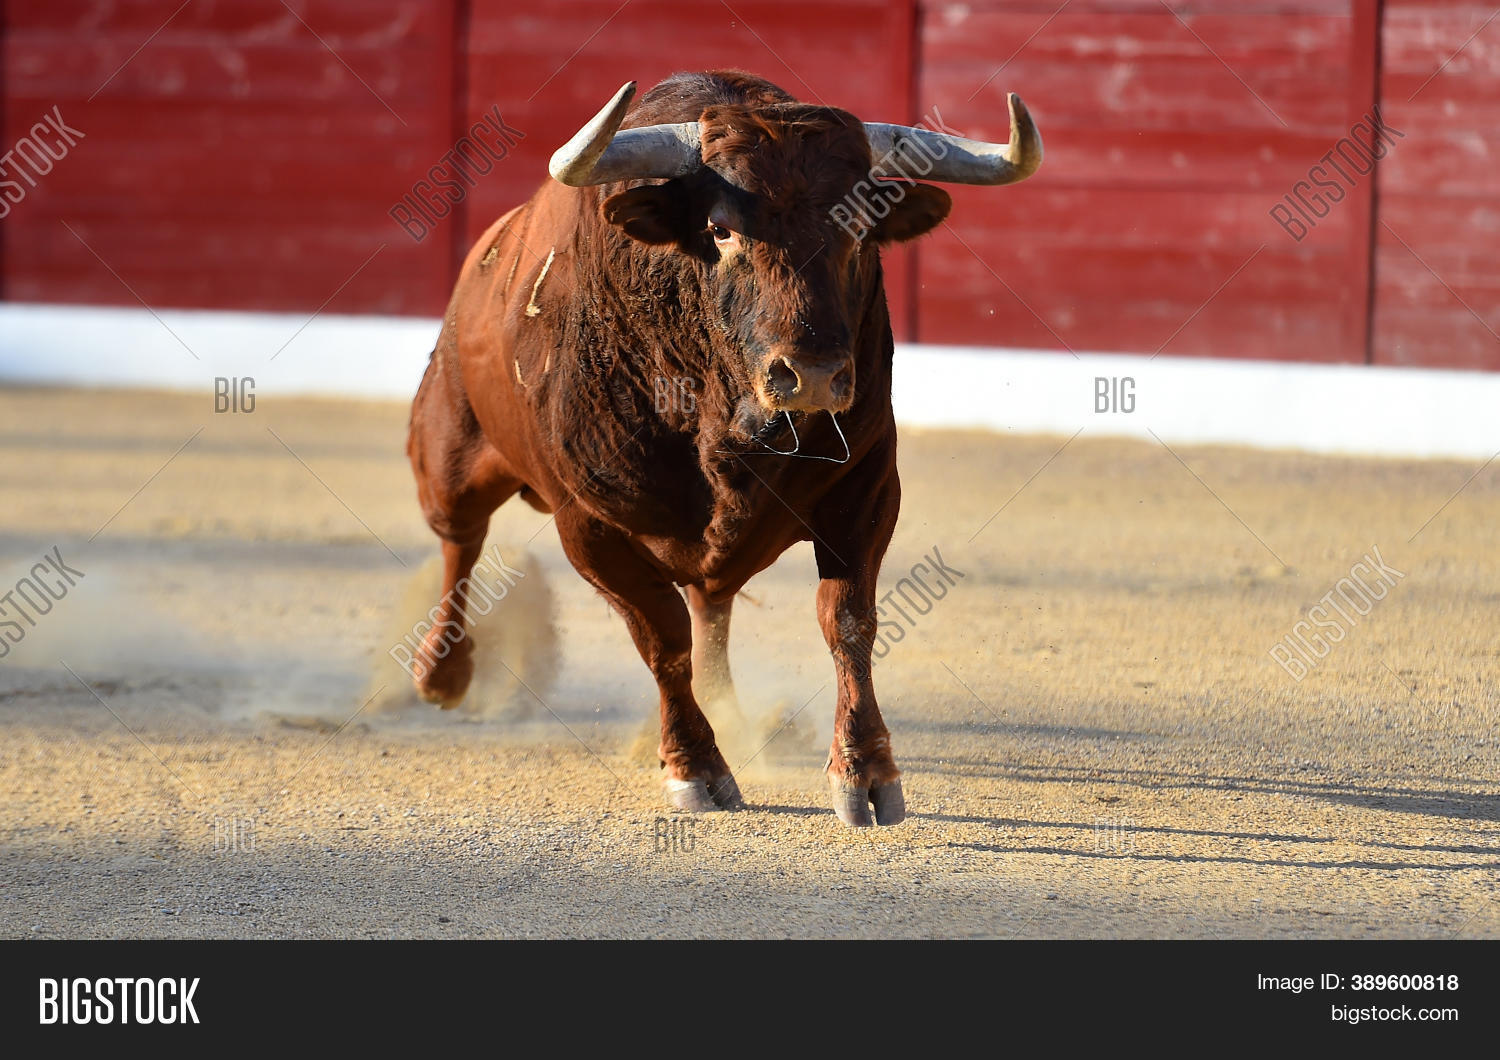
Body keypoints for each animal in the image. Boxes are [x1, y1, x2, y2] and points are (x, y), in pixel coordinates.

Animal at [406, 71, 1041, 826]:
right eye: (720, 228)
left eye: (861, 227)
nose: (812, 375)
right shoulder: (588, 522)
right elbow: (661, 636)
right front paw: (695, 768)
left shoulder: (866, 489)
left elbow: (847, 621)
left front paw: (865, 772)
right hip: (448, 450)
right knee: (460, 541)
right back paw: (441, 672)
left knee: (711, 604)